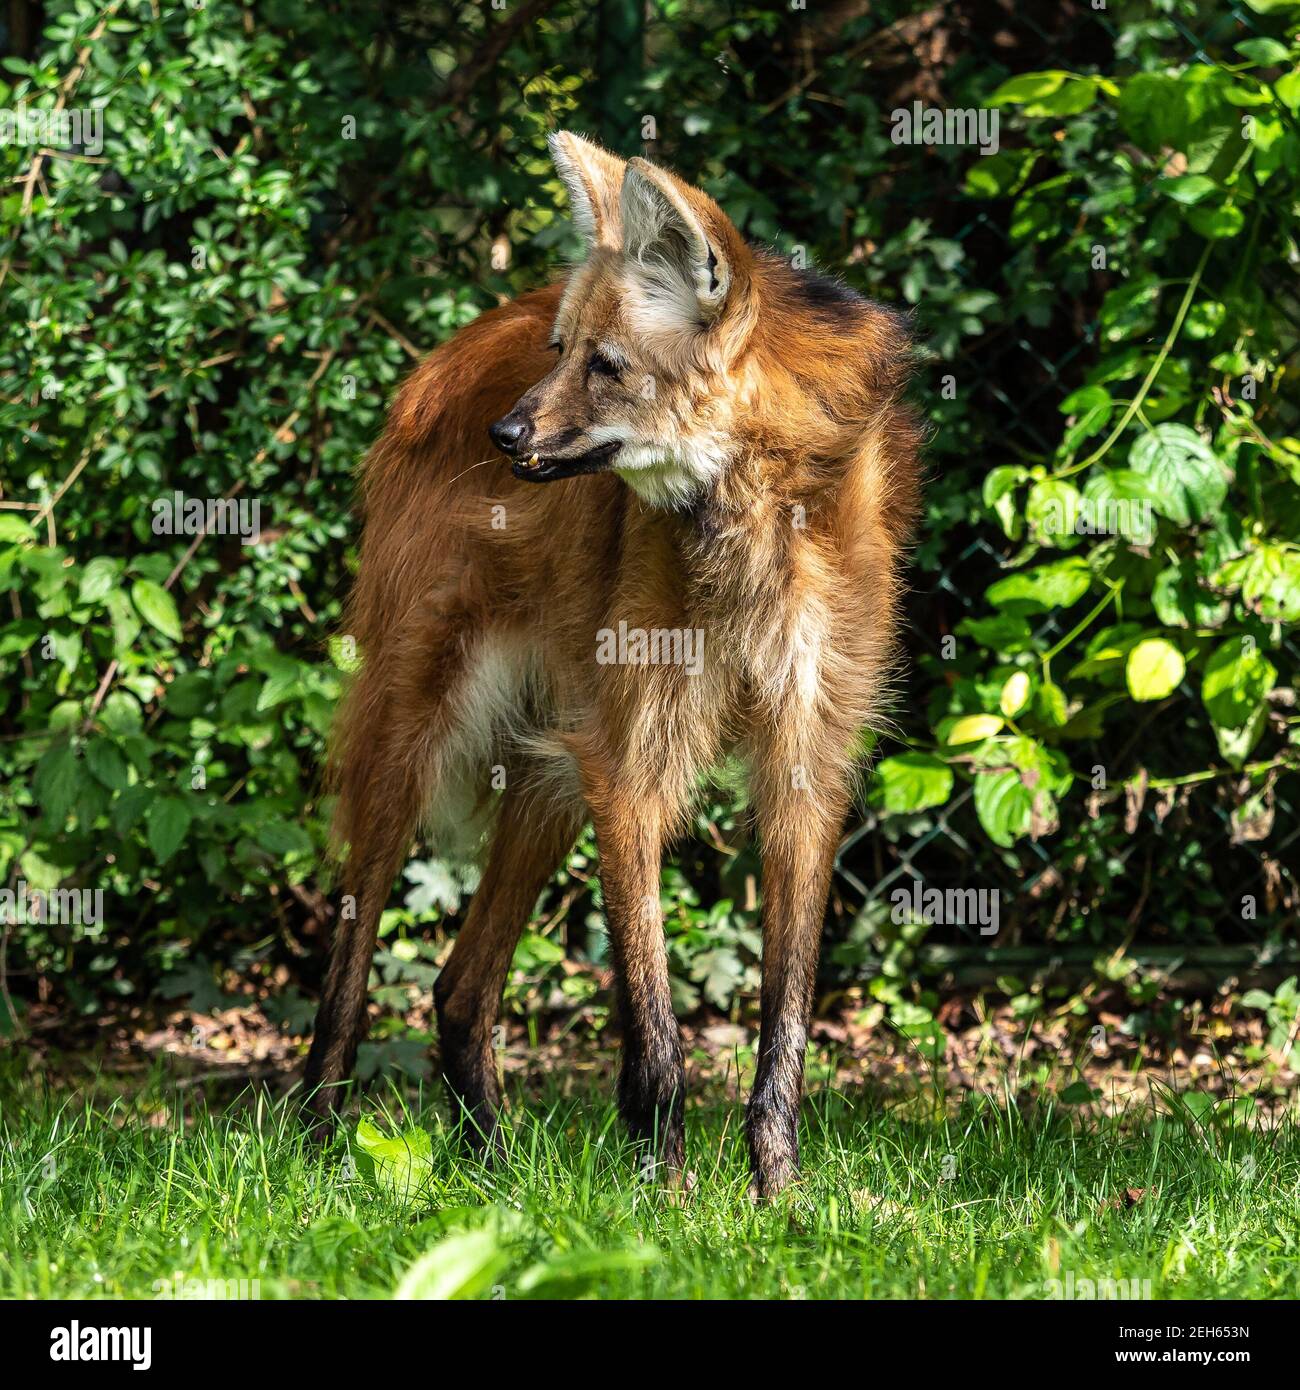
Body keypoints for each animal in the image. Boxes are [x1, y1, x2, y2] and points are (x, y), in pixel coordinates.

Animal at [303, 131, 922, 1198]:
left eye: (607, 365)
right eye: (561, 353)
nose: (506, 436)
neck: (748, 509)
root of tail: (437, 365)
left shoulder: (805, 757)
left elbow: (786, 1023)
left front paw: (781, 1198)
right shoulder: (629, 763)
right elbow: (655, 1027)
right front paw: (667, 1202)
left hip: (551, 764)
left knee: (459, 985)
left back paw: (496, 1173)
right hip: (421, 727)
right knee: (354, 942)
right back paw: (310, 1146)